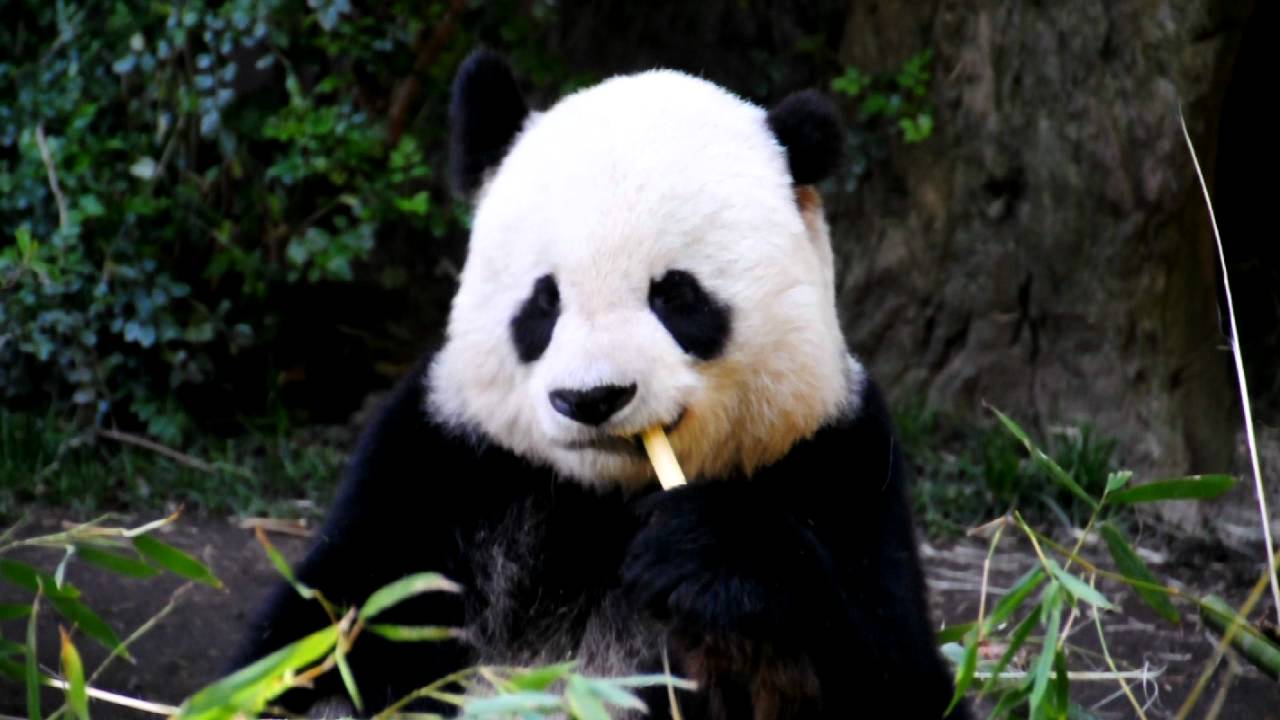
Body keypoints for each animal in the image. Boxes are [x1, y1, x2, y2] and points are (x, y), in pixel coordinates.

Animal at [231, 49, 968, 719]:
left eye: (676, 296)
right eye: (543, 302)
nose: (593, 398)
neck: (601, 502)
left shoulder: (839, 458)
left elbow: (892, 673)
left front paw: (707, 552)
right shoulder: (436, 468)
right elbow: (324, 642)